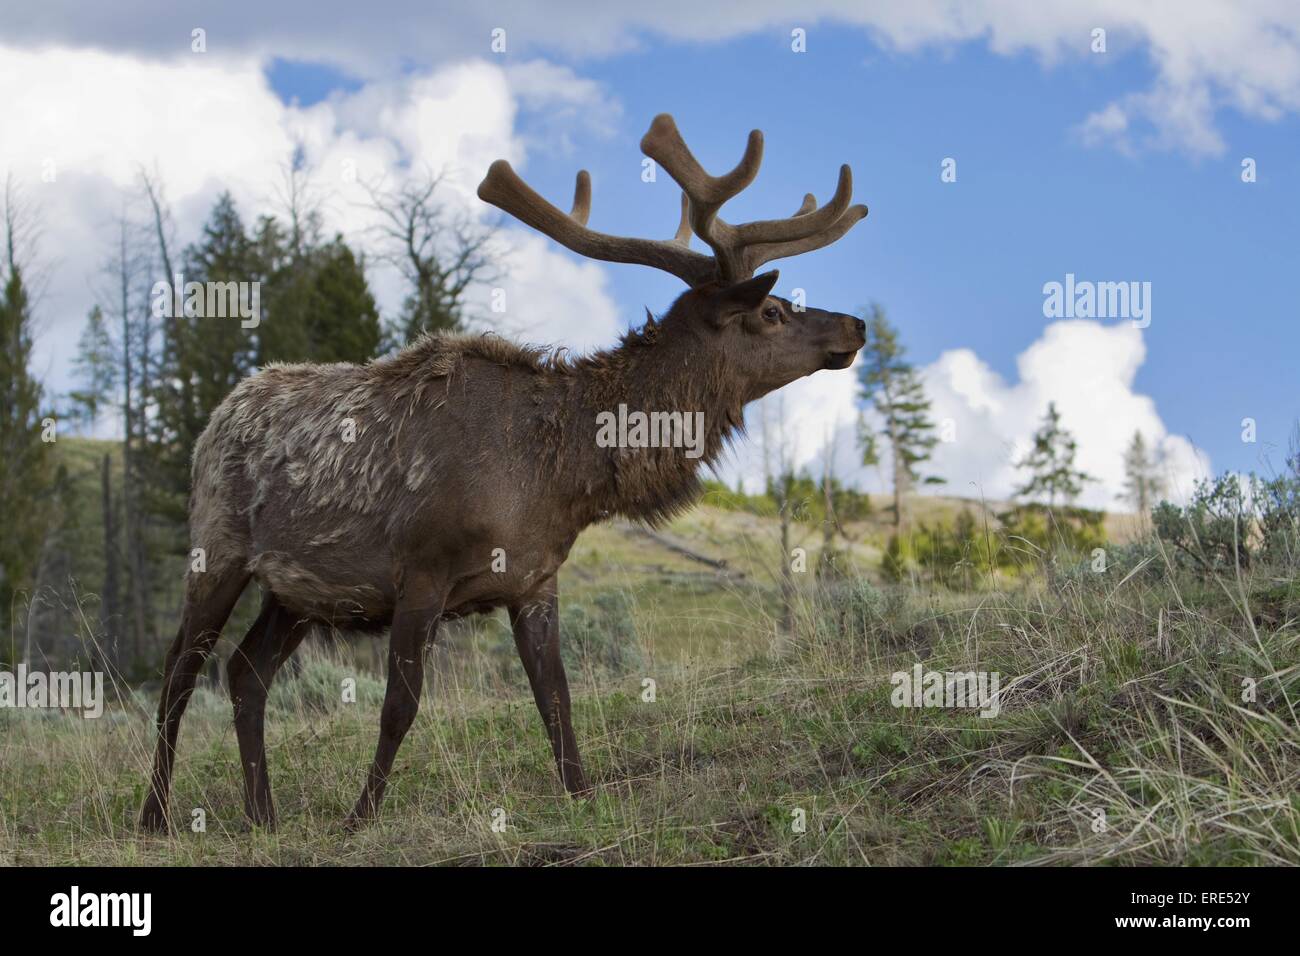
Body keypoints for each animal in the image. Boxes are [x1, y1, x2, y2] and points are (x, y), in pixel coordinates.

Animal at [139, 113, 869, 832]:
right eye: (771, 311)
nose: (856, 324)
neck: (557, 480)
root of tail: (215, 418)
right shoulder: (422, 568)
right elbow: (400, 705)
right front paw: (359, 816)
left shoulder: (535, 579)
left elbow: (557, 698)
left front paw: (583, 796)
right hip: (217, 550)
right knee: (179, 672)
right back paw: (157, 814)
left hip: (295, 594)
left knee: (244, 672)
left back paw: (262, 814)